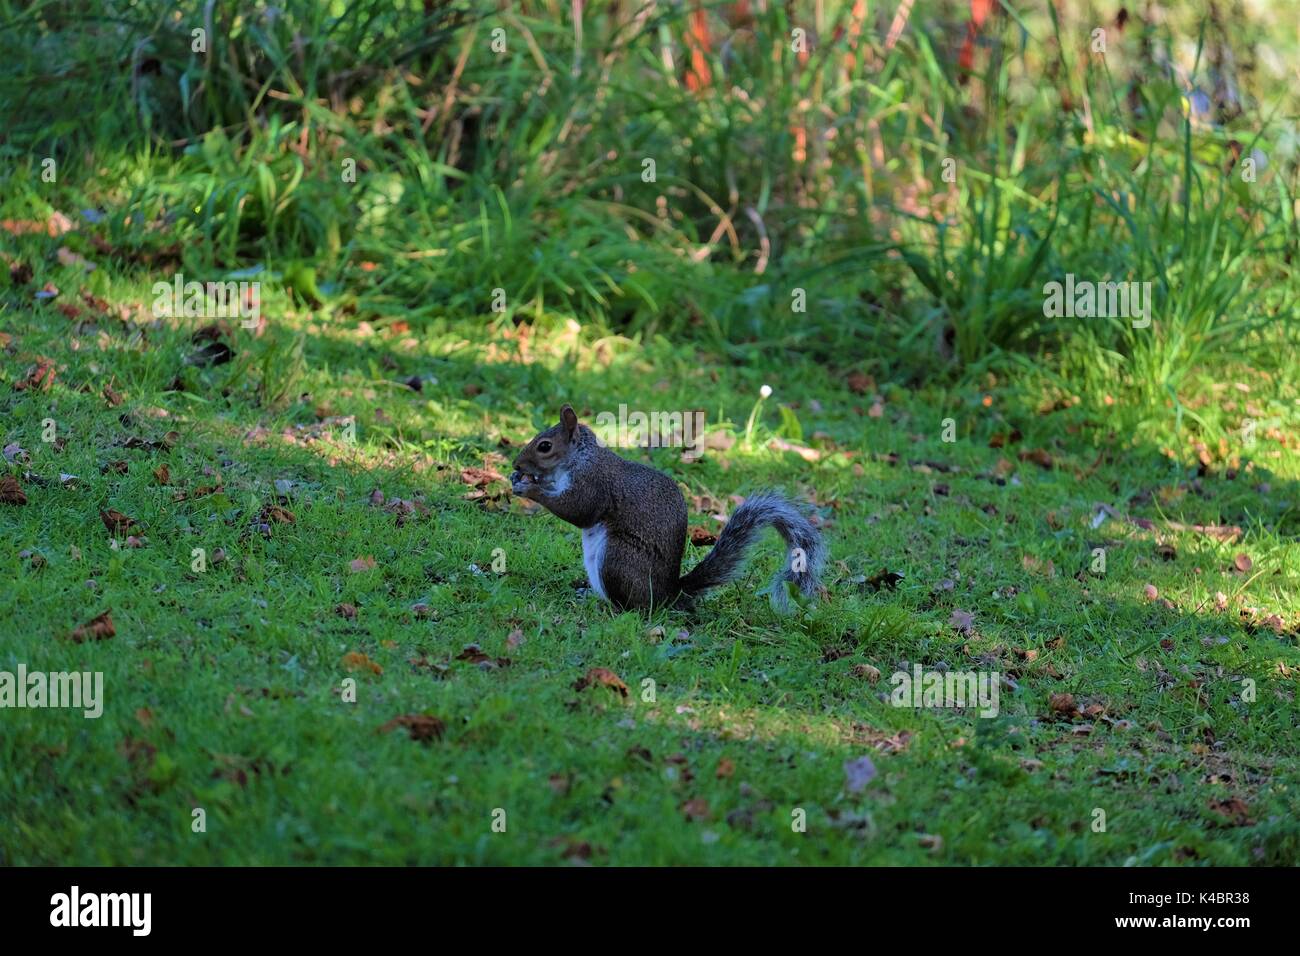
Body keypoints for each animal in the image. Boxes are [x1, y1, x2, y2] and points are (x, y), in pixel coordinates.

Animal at [510, 404, 825, 612]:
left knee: (635, 607)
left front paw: (530, 489)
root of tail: (668, 594)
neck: (578, 459)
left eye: (545, 446)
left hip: (618, 559)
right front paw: (519, 480)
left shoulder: (594, 484)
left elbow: (577, 509)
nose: (516, 464)